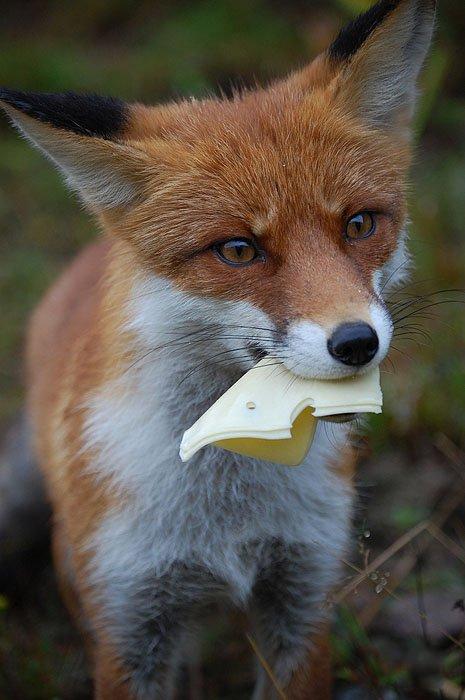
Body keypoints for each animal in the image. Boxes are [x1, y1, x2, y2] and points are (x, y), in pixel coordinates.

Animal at [0, 0, 436, 697]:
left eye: (360, 224)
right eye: (238, 250)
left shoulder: (303, 597)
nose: (357, 343)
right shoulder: (127, 621)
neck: (226, 515)